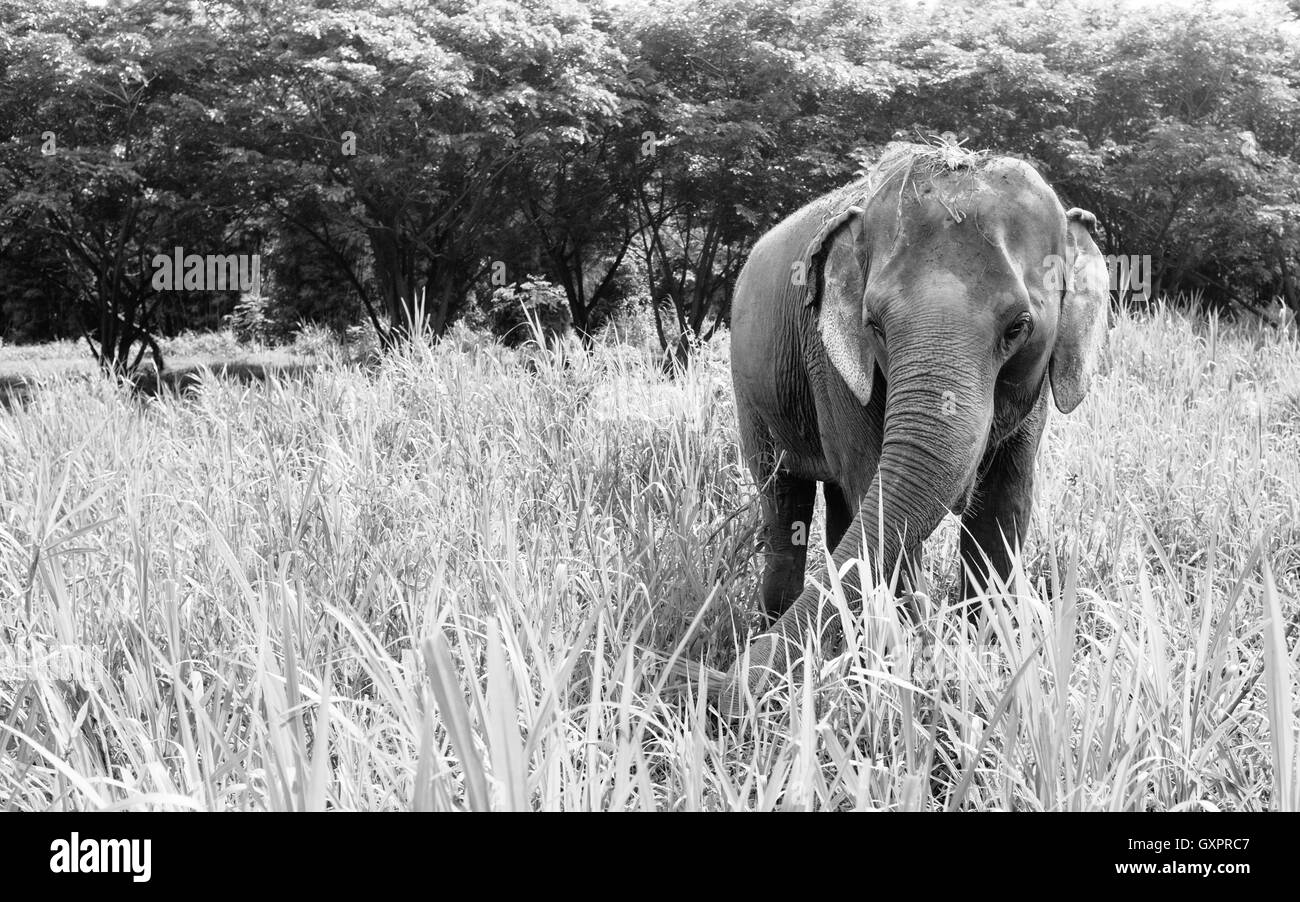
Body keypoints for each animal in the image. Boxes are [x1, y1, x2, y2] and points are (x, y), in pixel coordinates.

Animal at [717, 141, 1109, 714]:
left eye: (1019, 327)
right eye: (874, 325)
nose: (726, 687)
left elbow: (1004, 506)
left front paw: (985, 655)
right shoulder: (829, 361)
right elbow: (879, 503)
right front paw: (911, 670)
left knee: (841, 508)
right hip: (752, 392)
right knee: (785, 500)